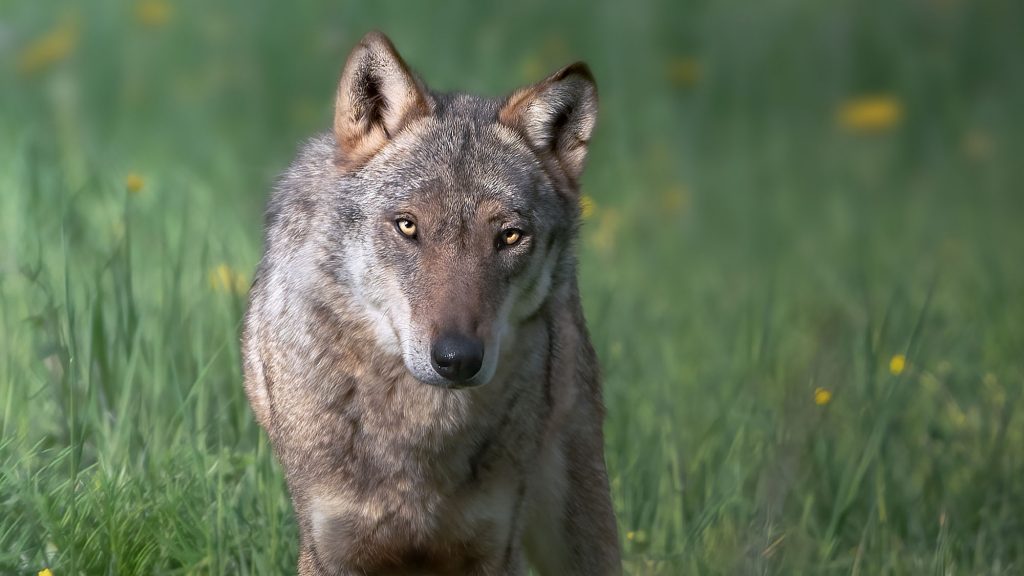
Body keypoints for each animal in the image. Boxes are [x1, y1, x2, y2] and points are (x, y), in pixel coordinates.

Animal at [241, 31, 620, 575]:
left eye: (509, 236)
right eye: (408, 225)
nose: (458, 359)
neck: (420, 437)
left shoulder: (494, 548)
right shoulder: (330, 550)